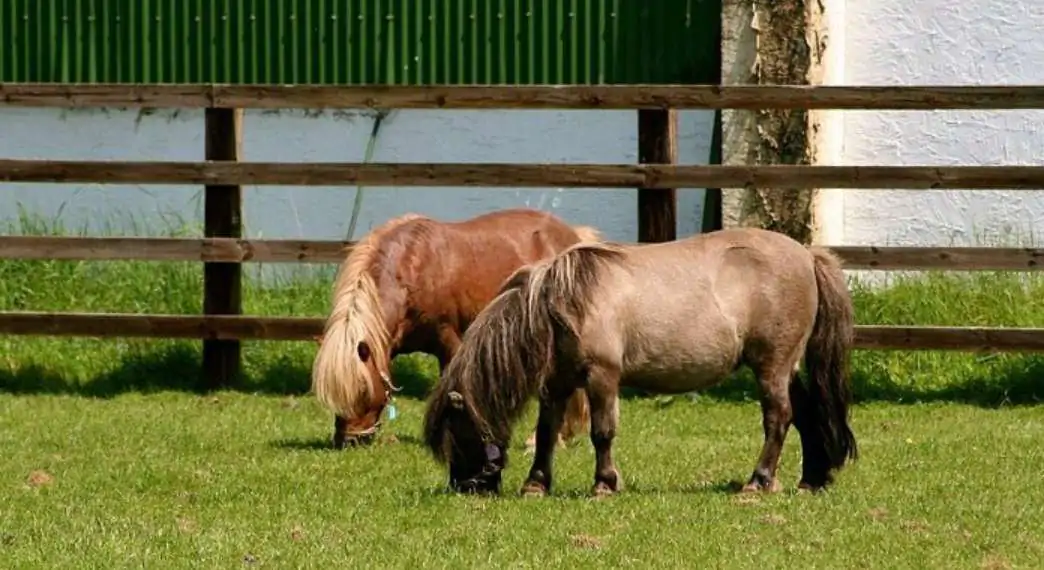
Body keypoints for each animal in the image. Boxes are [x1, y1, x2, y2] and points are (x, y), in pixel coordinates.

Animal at [423, 227, 858, 497]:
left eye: (456, 435)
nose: (466, 488)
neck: (559, 303)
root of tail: (807, 255)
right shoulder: (557, 383)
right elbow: (547, 433)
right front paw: (536, 485)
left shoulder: (602, 376)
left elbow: (602, 432)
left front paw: (604, 484)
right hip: (786, 368)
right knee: (805, 415)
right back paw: (810, 480)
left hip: (772, 367)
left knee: (778, 419)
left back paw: (758, 480)